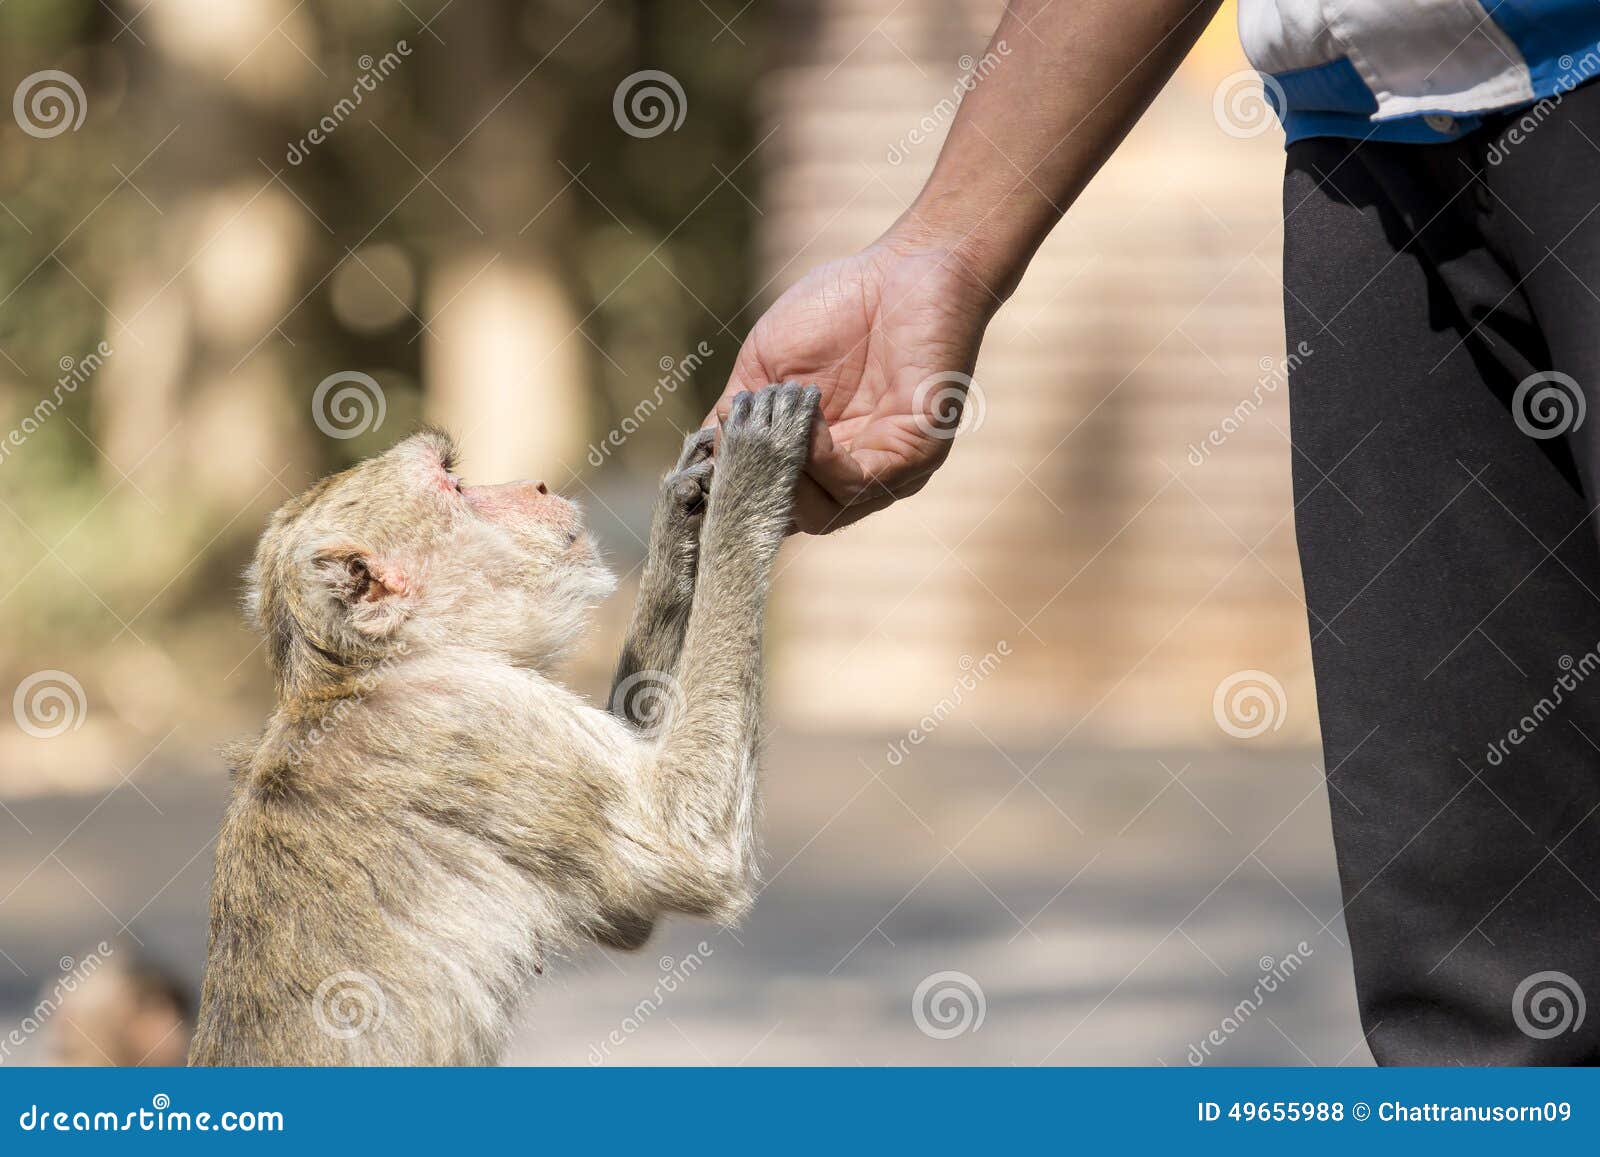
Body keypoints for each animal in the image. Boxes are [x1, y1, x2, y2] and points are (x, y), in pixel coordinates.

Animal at [187, 381, 820, 1066]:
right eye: (455, 486)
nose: (535, 485)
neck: (354, 674)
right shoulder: (474, 715)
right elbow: (689, 845)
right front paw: (750, 476)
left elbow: (627, 916)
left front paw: (684, 517)